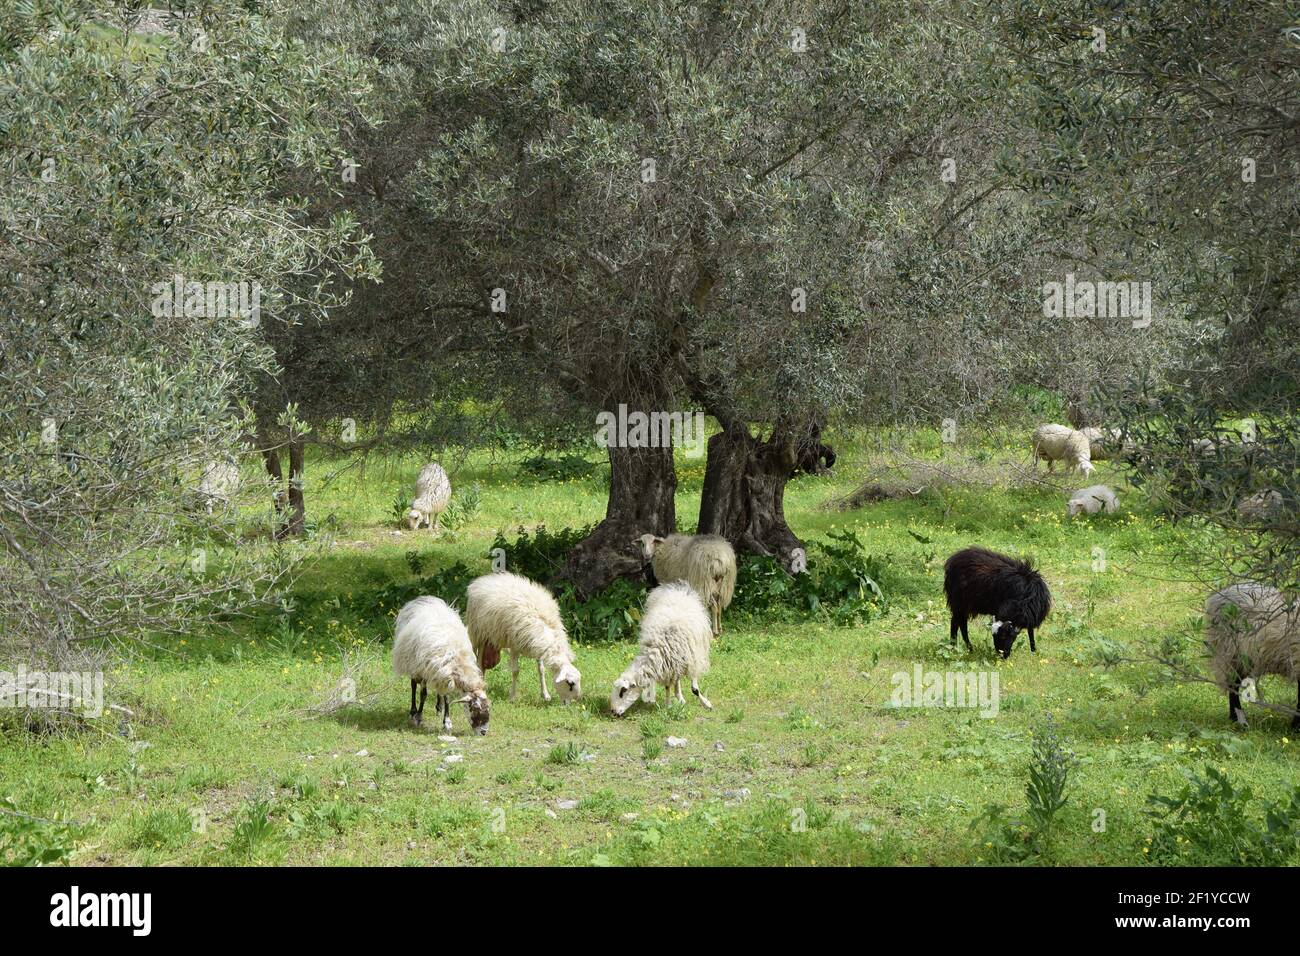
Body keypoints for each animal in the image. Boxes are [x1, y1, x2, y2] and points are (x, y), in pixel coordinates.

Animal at [391, 596, 491, 735]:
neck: (457, 660)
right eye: (474, 707)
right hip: (412, 663)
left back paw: (439, 707)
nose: (484, 732)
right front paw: (418, 717)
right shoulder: (425, 671)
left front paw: (447, 722)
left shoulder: (444, 673)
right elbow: (423, 694)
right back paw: (413, 711)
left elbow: (446, 696)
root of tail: (424, 598)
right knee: (413, 686)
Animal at [464, 572, 581, 703]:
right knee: (476, 660)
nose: (572, 703)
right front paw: (512, 697)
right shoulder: (514, 645)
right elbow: (515, 671)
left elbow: (541, 670)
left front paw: (545, 694)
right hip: (476, 631)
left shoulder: (537, 644)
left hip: (488, 637)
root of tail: (484, 579)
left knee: (481, 663)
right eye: (570, 684)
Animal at [610, 582, 713, 715]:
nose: (613, 711)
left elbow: (694, 689)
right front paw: (668, 705)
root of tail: (675, 588)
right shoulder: (667, 665)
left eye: (623, 691)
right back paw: (680, 698)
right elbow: (668, 686)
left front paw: (706, 704)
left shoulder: (692, 660)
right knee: (677, 680)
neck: (658, 648)